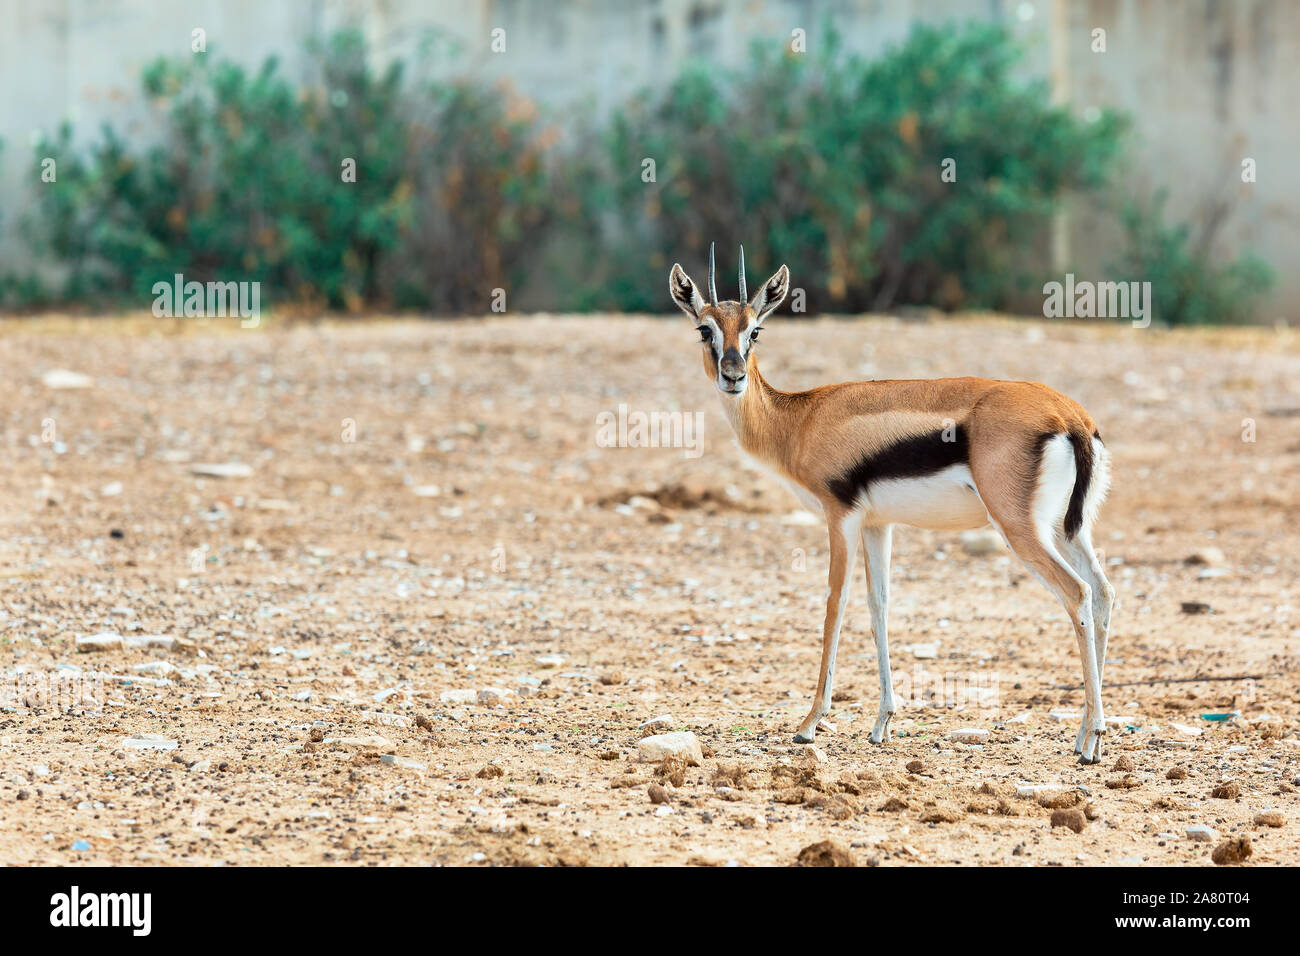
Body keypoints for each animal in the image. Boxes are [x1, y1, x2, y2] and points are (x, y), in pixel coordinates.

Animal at [669, 245, 1115, 763]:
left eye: (754, 329)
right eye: (705, 329)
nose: (734, 376)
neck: (800, 420)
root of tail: (1071, 416)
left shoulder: (839, 516)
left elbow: (836, 602)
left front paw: (809, 724)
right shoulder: (876, 525)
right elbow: (878, 604)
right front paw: (882, 722)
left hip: (1021, 530)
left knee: (1077, 593)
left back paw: (1091, 739)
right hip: (1069, 529)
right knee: (1103, 592)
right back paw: (1087, 736)